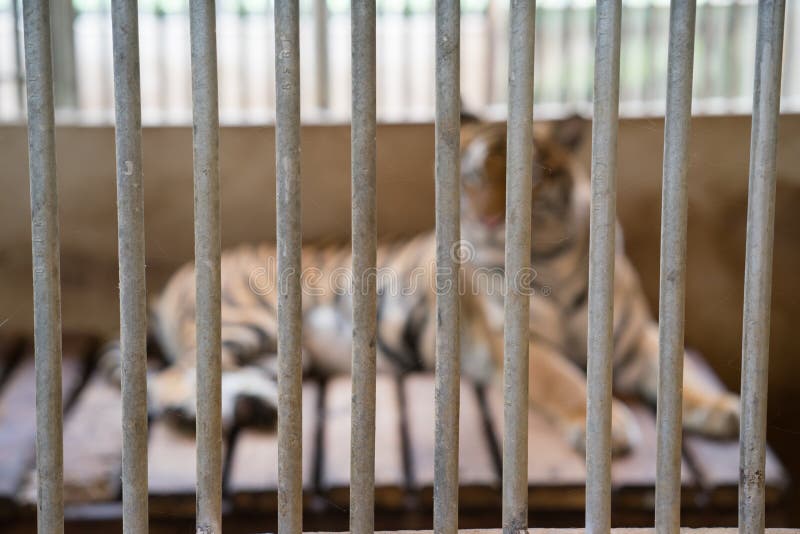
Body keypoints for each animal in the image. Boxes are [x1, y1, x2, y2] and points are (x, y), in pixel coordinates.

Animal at [102, 114, 740, 455]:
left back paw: (254, 407)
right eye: (474, 177)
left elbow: (677, 372)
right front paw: (603, 430)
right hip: (247, 319)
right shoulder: (520, 345)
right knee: (172, 379)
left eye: (530, 178)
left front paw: (725, 412)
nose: (488, 220)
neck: (555, 259)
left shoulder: (636, 337)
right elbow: (565, 382)